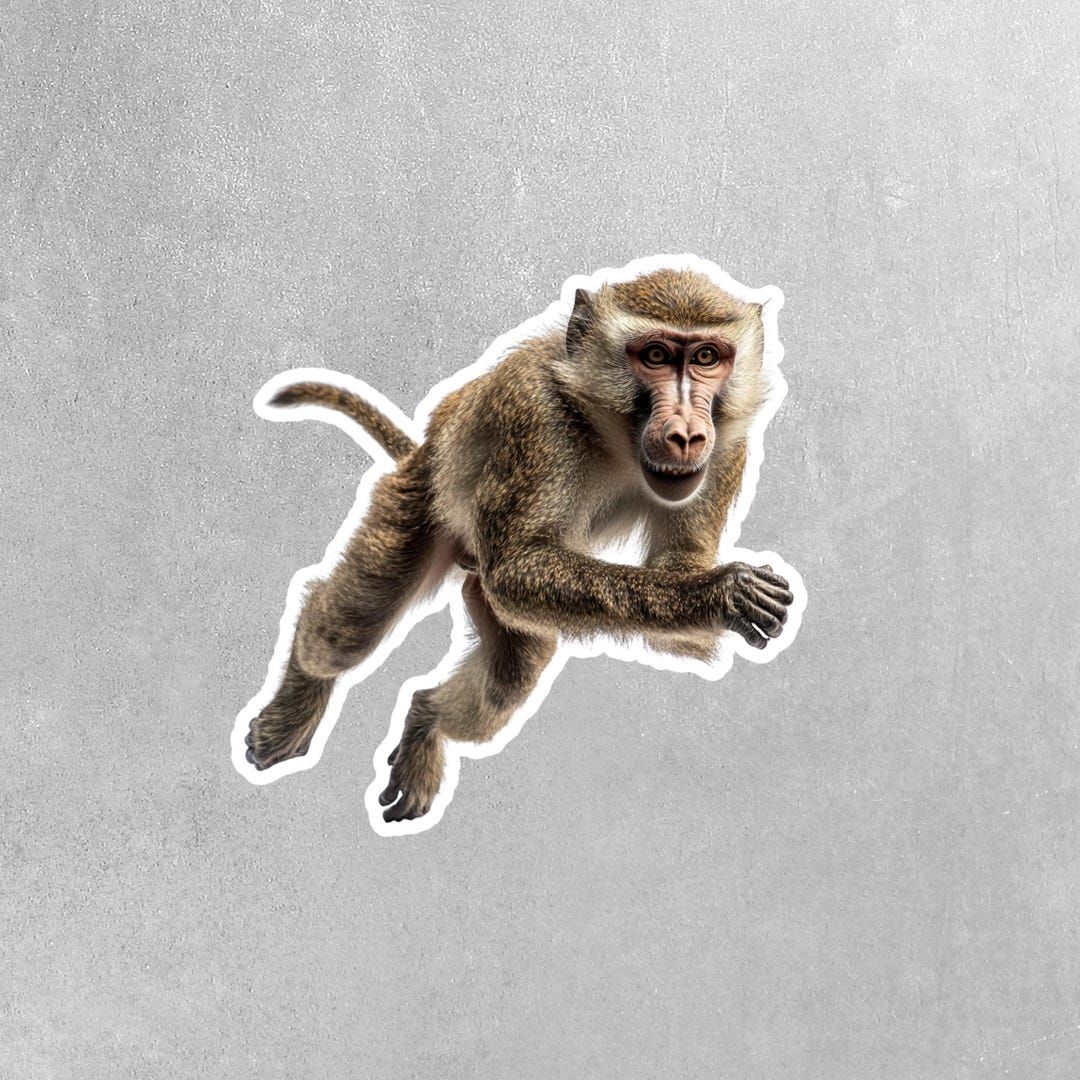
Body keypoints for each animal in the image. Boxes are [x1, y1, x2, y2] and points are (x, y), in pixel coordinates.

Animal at [242, 265, 796, 825]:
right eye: (656, 355)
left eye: (706, 357)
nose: (686, 434)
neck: (609, 434)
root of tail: (425, 452)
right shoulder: (537, 421)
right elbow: (515, 568)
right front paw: (719, 592)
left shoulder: (728, 449)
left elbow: (674, 586)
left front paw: (706, 593)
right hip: (415, 501)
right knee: (351, 629)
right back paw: (299, 698)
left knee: (512, 670)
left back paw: (426, 721)